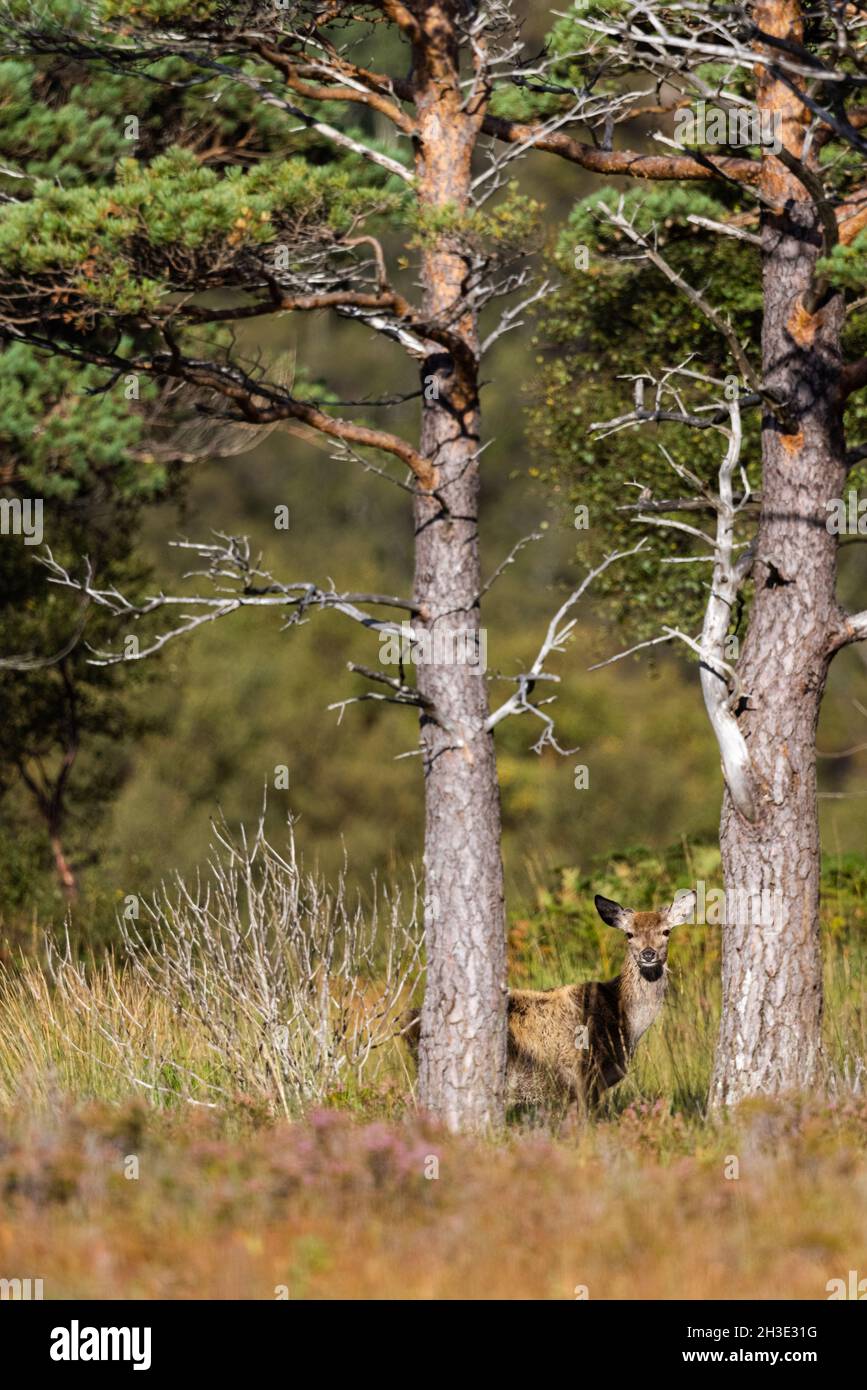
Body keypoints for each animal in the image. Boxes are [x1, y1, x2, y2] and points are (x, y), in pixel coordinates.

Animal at [403, 889, 695, 1116]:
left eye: (666, 931)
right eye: (629, 934)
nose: (648, 954)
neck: (625, 1021)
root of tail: (409, 1022)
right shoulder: (584, 1074)